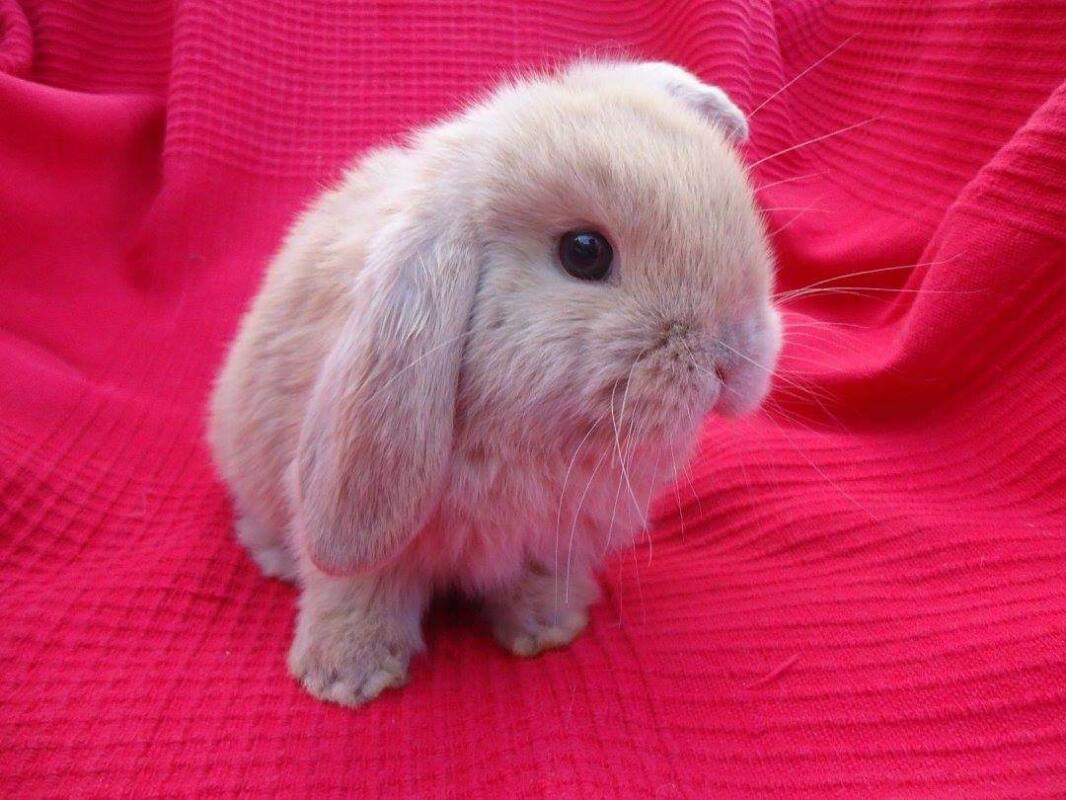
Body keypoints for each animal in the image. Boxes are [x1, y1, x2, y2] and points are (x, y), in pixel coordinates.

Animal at [208, 59, 782, 707]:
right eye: (584, 251)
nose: (732, 359)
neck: (539, 434)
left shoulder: (549, 537)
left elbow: (533, 579)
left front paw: (549, 628)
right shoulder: (365, 536)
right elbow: (355, 590)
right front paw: (346, 678)